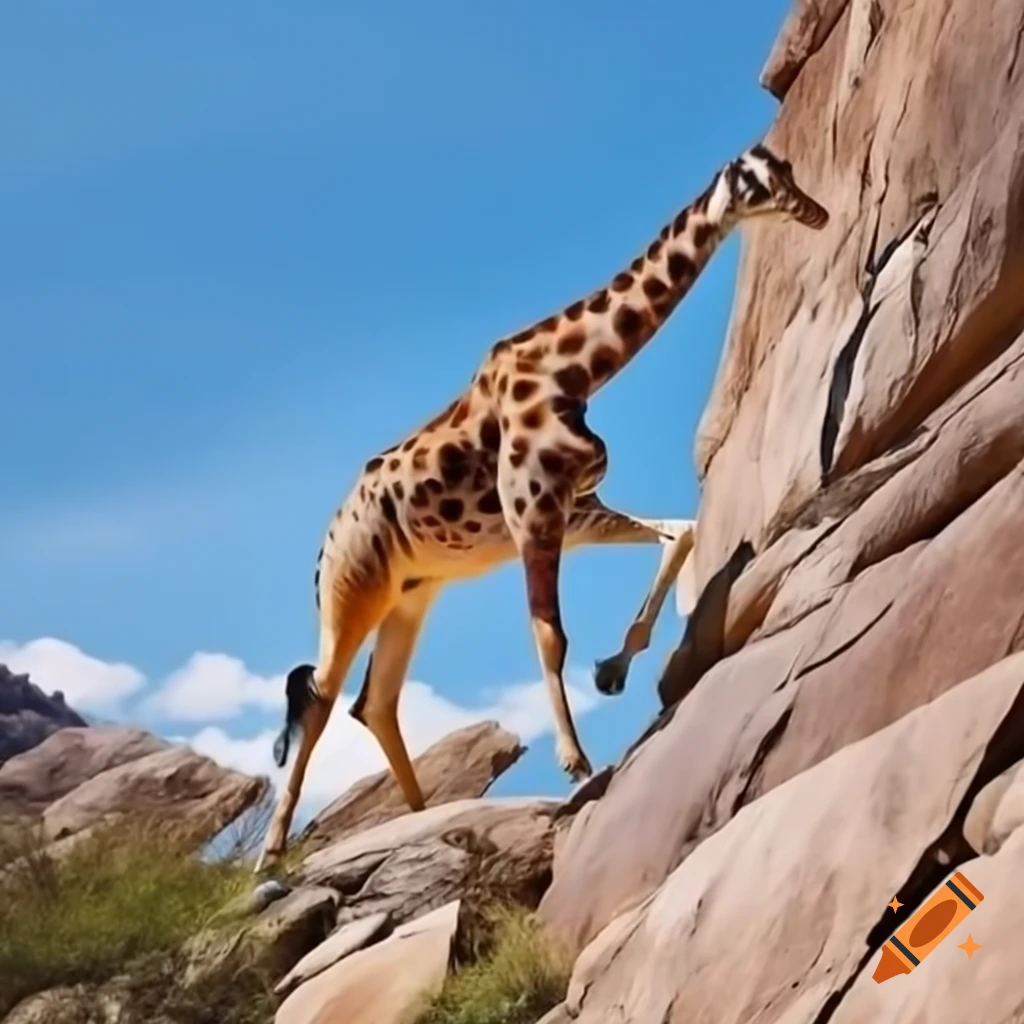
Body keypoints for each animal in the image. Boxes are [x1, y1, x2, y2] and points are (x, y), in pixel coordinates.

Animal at [254, 141, 829, 871]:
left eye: (787, 170)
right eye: (759, 183)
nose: (817, 212)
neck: (574, 372)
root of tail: (324, 546)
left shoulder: (574, 507)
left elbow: (682, 531)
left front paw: (612, 672)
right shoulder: (533, 513)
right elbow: (550, 634)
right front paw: (577, 761)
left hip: (413, 592)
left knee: (373, 702)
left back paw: (418, 814)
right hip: (353, 589)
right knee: (322, 696)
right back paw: (272, 851)